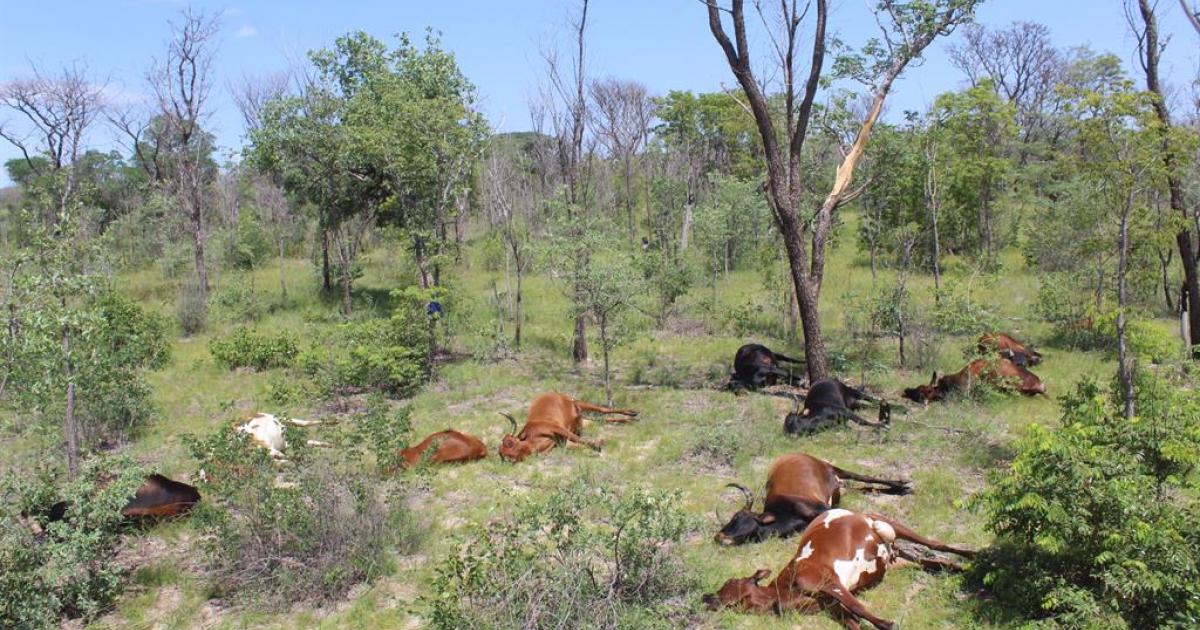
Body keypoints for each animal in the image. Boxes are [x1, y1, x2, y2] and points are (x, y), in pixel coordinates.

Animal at [497, 393, 638, 463]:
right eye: (502, 455)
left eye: (510, 443)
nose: (510, 460)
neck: (532, 438)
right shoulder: (562, 444)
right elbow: (577, 445)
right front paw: (597, 446)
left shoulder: (556, 428)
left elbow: (576, 438)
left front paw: (598, 444)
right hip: (584, 420)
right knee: (602, 419)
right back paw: (630, 419)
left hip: (579, 403)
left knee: (603, 410)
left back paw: (632, 412)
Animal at [703, 508, 975, 628]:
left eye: (728, 583)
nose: (706, 596)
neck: (785, 590)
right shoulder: (833, 606)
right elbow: (854, 620)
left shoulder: (829, 583)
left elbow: (860, 608)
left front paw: (888, 623)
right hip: (896, 560)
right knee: (933, 562)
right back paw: (965, 569)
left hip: (888, 523)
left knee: (936, 544)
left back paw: (975, 555)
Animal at [715, 453, 911, 545]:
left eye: (737, 517)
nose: (718, 536)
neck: (782, 511)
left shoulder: (821, 508)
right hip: (839, 486)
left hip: (835, 470)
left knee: (863, 477)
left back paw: (902, 485)